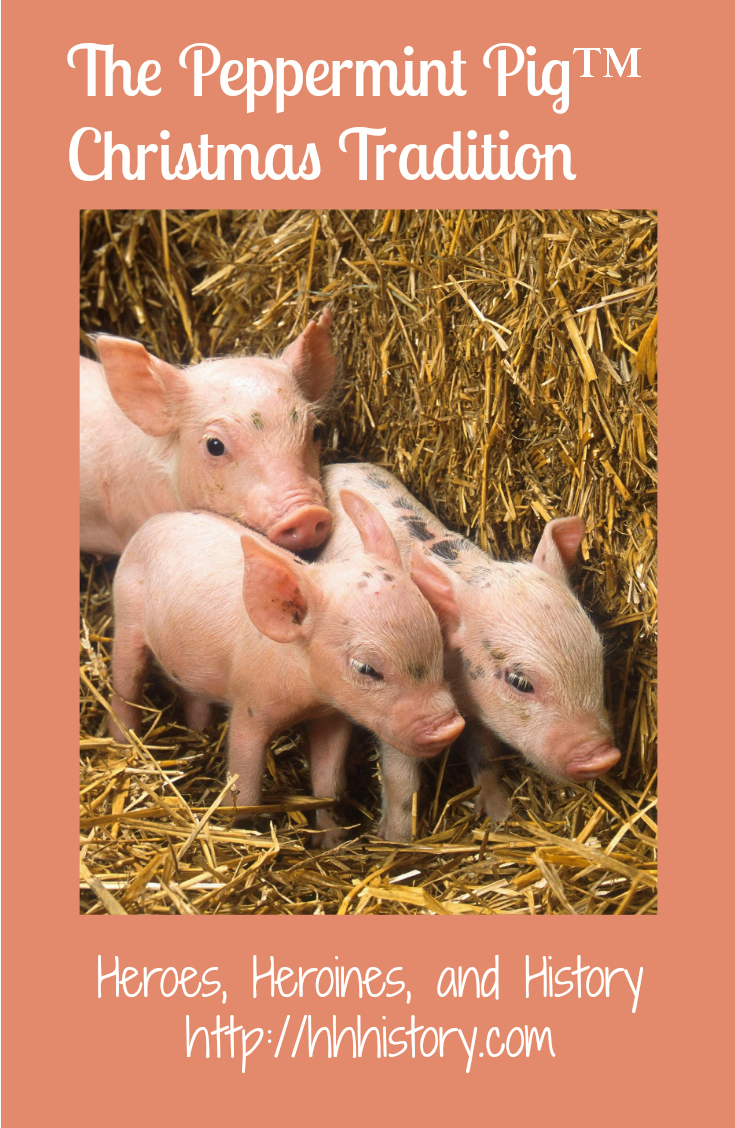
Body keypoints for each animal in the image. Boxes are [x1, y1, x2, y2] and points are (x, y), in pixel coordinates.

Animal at [109, 491, 464, 847]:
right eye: (365, 667)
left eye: (436, 637)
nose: (450, 726)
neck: (307, 696)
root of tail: (154, 522)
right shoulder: (249, 707)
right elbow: (245, 783)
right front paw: (245, 830)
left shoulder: (332, 715)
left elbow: (328, 782)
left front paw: (332, 842)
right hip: (126, 617)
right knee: (124, 688)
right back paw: (124, 742)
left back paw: (200, 730)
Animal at [319, 463, 621, 841]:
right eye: (520, 682)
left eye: (598, 657)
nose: (604, 757)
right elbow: (401, 772)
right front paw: (395, 840)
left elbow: (485, 755)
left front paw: (500, 815)